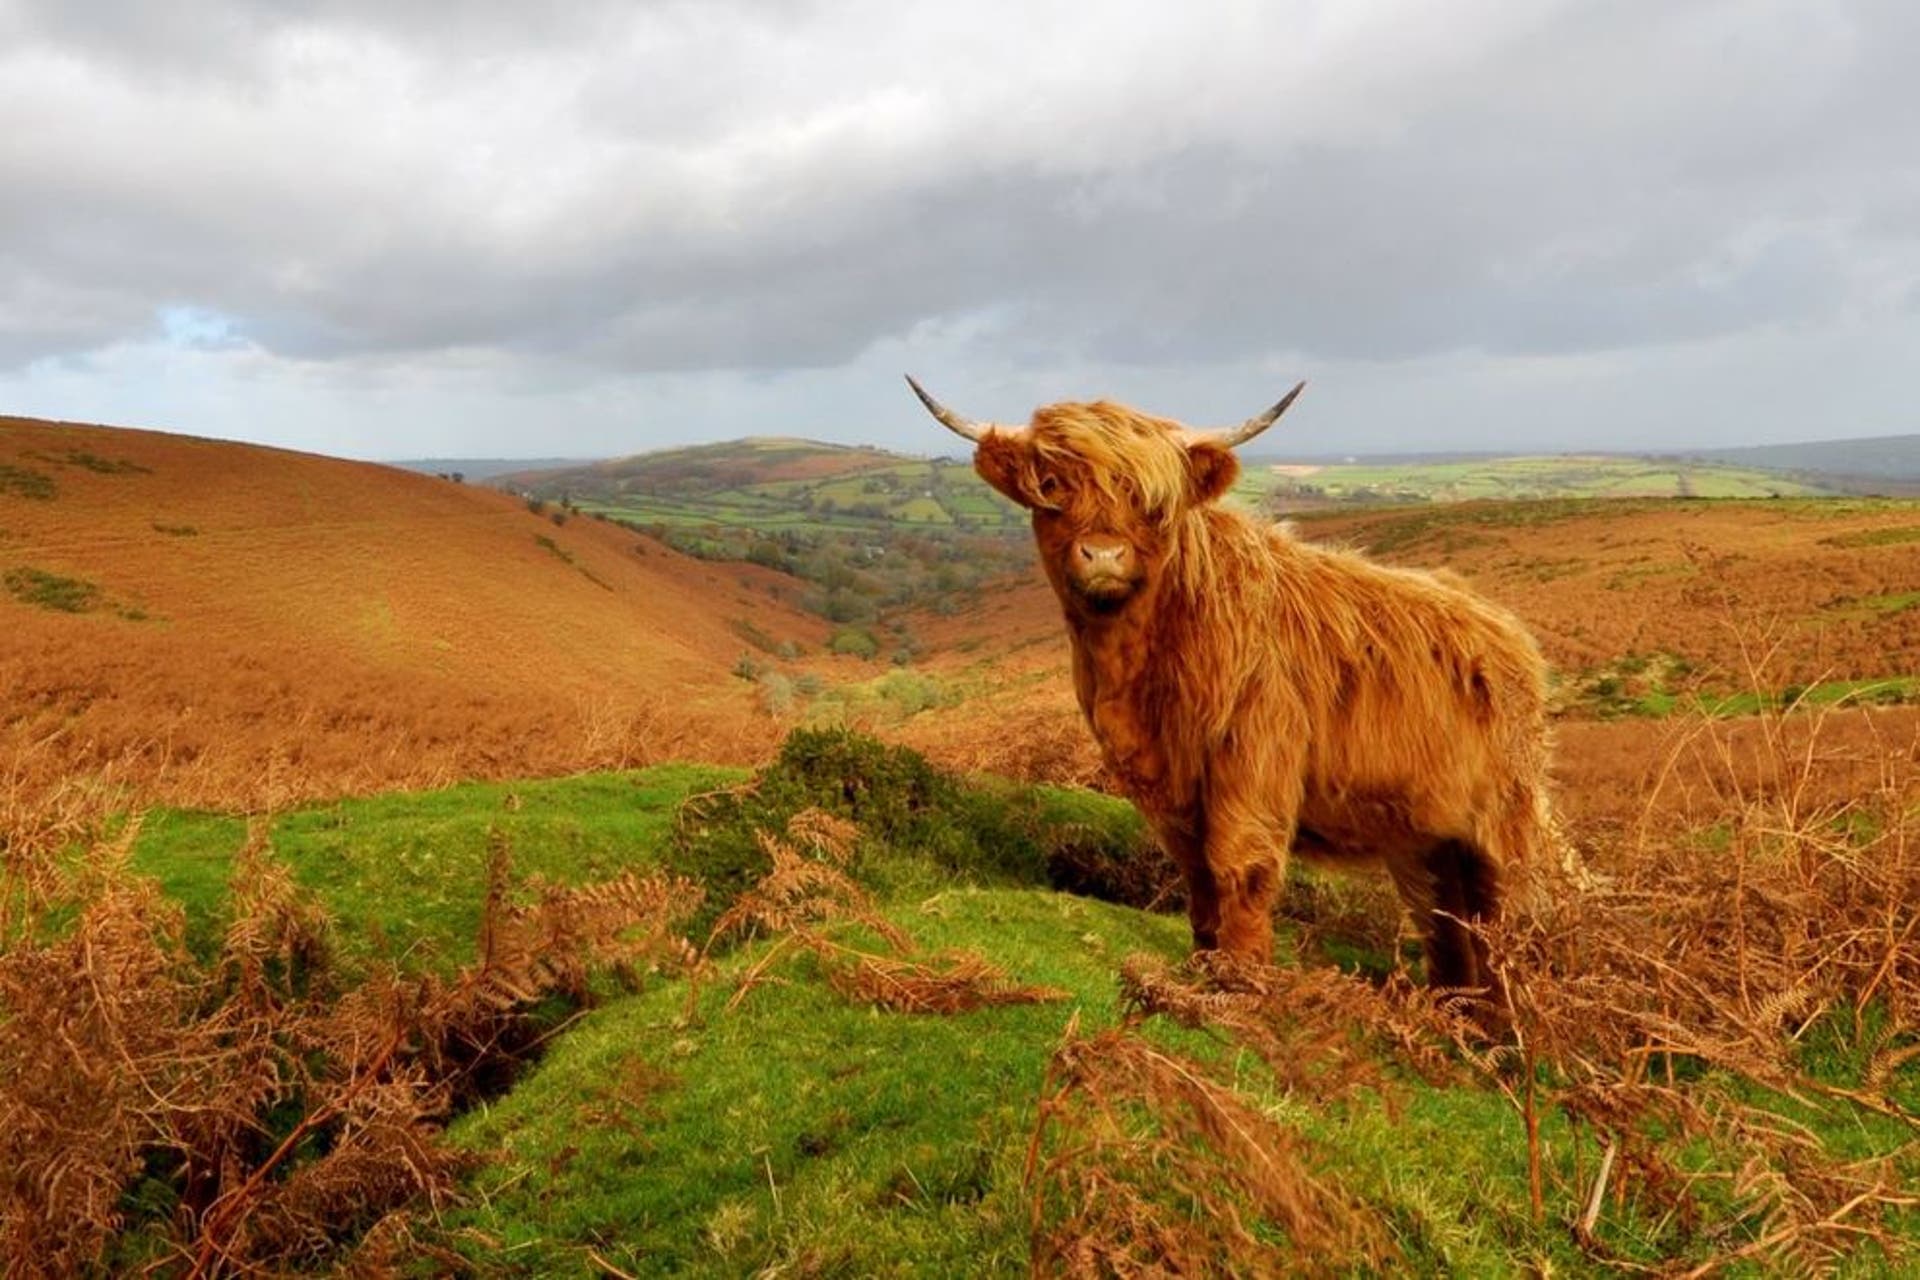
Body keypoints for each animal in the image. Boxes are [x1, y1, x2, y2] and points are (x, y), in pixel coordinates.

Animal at [908, 377, 1554, 1011]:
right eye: (1051, 485)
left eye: (1154, 502)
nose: (1103, 555)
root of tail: (1507, 630)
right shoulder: (1167, 785)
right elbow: (1197, 873)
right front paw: (1202, 962)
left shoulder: (1254, 757)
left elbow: (1240, 866)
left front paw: (1241, 980)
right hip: (1426, 838)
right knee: (1447, 924)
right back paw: (1459, 1017)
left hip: (1504, 825)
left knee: (1504, 921)